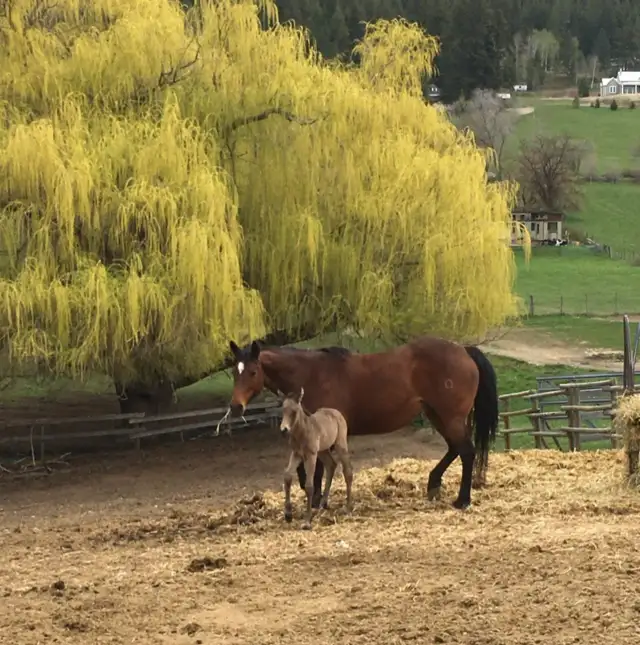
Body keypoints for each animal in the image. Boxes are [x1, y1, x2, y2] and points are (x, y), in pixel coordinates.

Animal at [226, 335, 499, 510]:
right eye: (234, 373)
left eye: (252, 372)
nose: (235, 406)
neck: (310, 374)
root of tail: (464, 350)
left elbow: (317, 471)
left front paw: (317, 502)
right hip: (437, 414)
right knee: (455, 448)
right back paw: (434, 485)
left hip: (450, 417)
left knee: (467, 452)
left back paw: (462, 500)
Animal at [280, 388, 353, 529]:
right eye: (283, 409)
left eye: (294, 411)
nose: (283, 430)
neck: (302, 432)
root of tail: (336, 412)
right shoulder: (296, 454)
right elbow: (287, 476)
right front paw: (288, 514)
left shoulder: (311, 455)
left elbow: (309, 486)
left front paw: (307, 521)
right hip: (323, 451)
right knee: (331, 465)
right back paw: (323, 503)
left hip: (340, 444)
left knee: (347, 471)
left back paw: (347, 507)